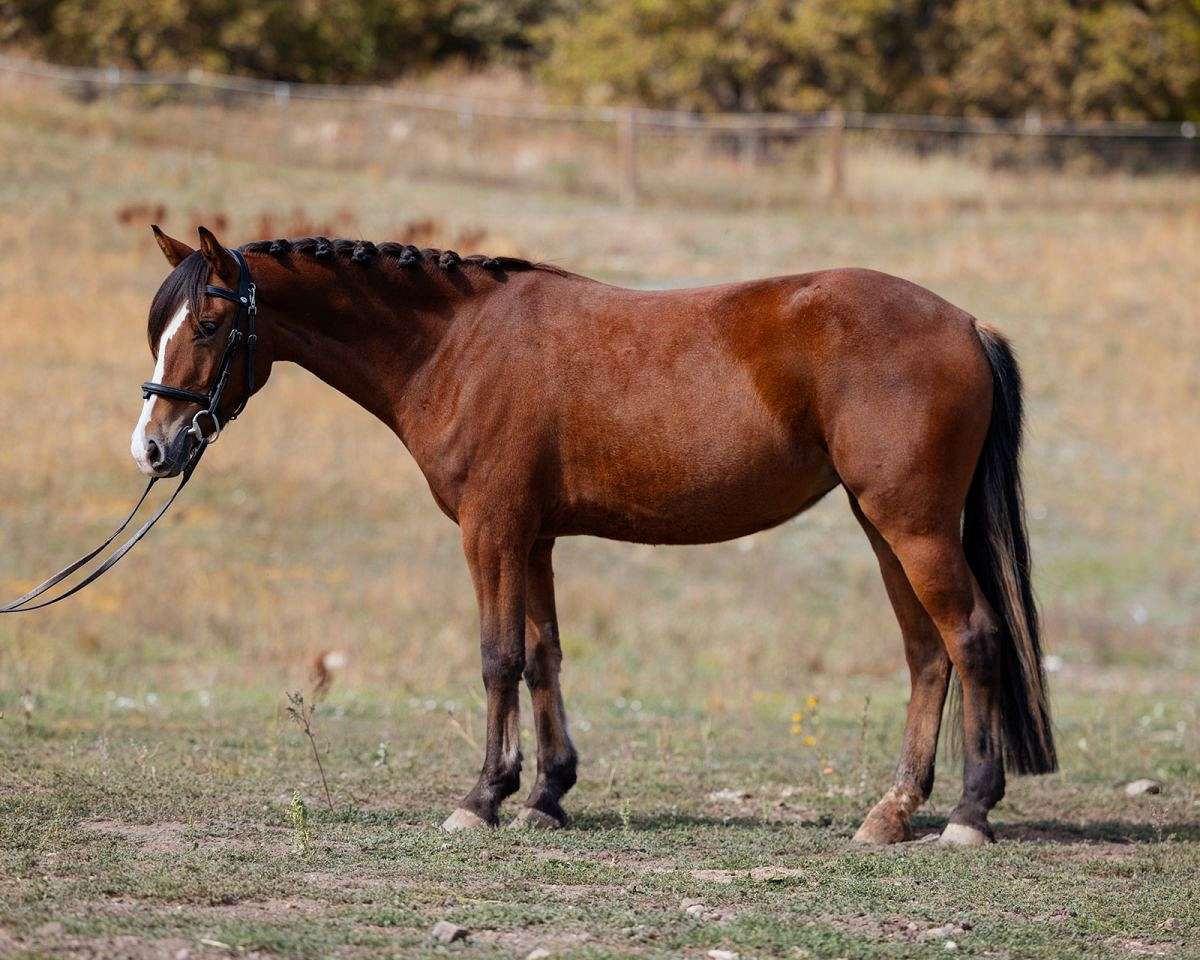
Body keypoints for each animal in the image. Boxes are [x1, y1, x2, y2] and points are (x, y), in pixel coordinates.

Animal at [132, 225, 1056, 845]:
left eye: (209, 327)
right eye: (160, 328)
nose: (153, 447)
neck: (458, 345)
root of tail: (965, 324)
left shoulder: (491, 532)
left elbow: (498, 657)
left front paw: (481, 800)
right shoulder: (534, 539)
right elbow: (544, 656)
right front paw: (546, 796)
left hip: (913, 526)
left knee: (972, 639)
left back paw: (969, 814)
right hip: (885, 526)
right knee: (927, 653)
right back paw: (892, 812)